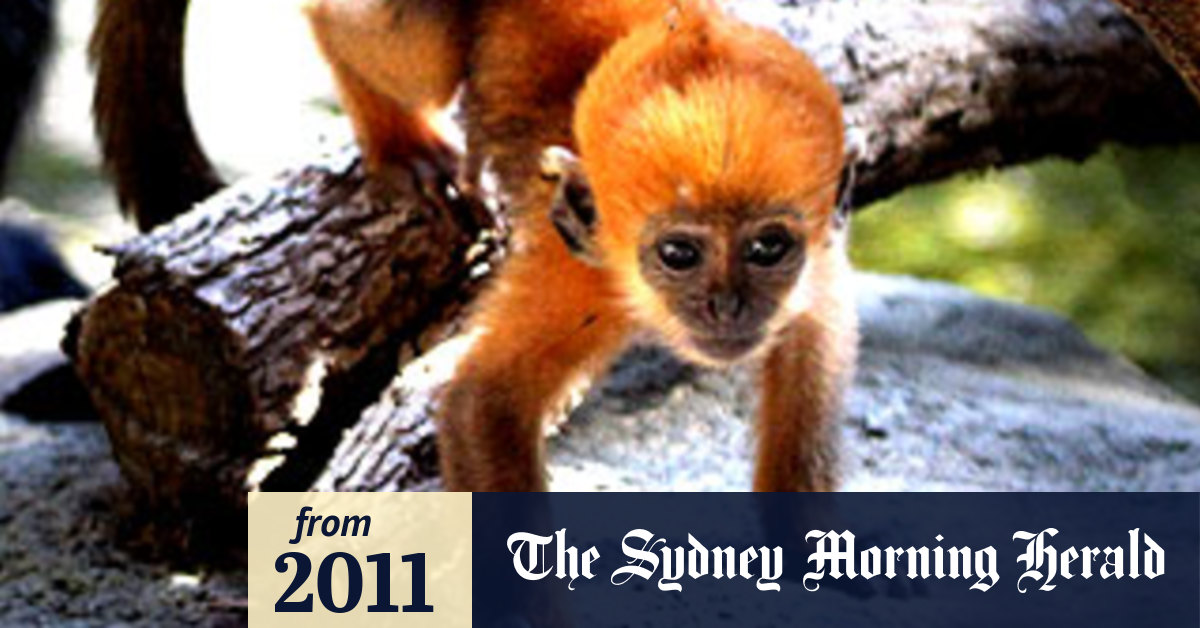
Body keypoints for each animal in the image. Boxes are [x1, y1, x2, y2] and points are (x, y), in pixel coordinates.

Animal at [88, 0, 854, 493]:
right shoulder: (577, 274)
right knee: (398, 49)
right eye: (679, 255)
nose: (728, 307)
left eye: (768, 248)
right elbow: (482, 405)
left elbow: (805, 387)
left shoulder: (819, 273)